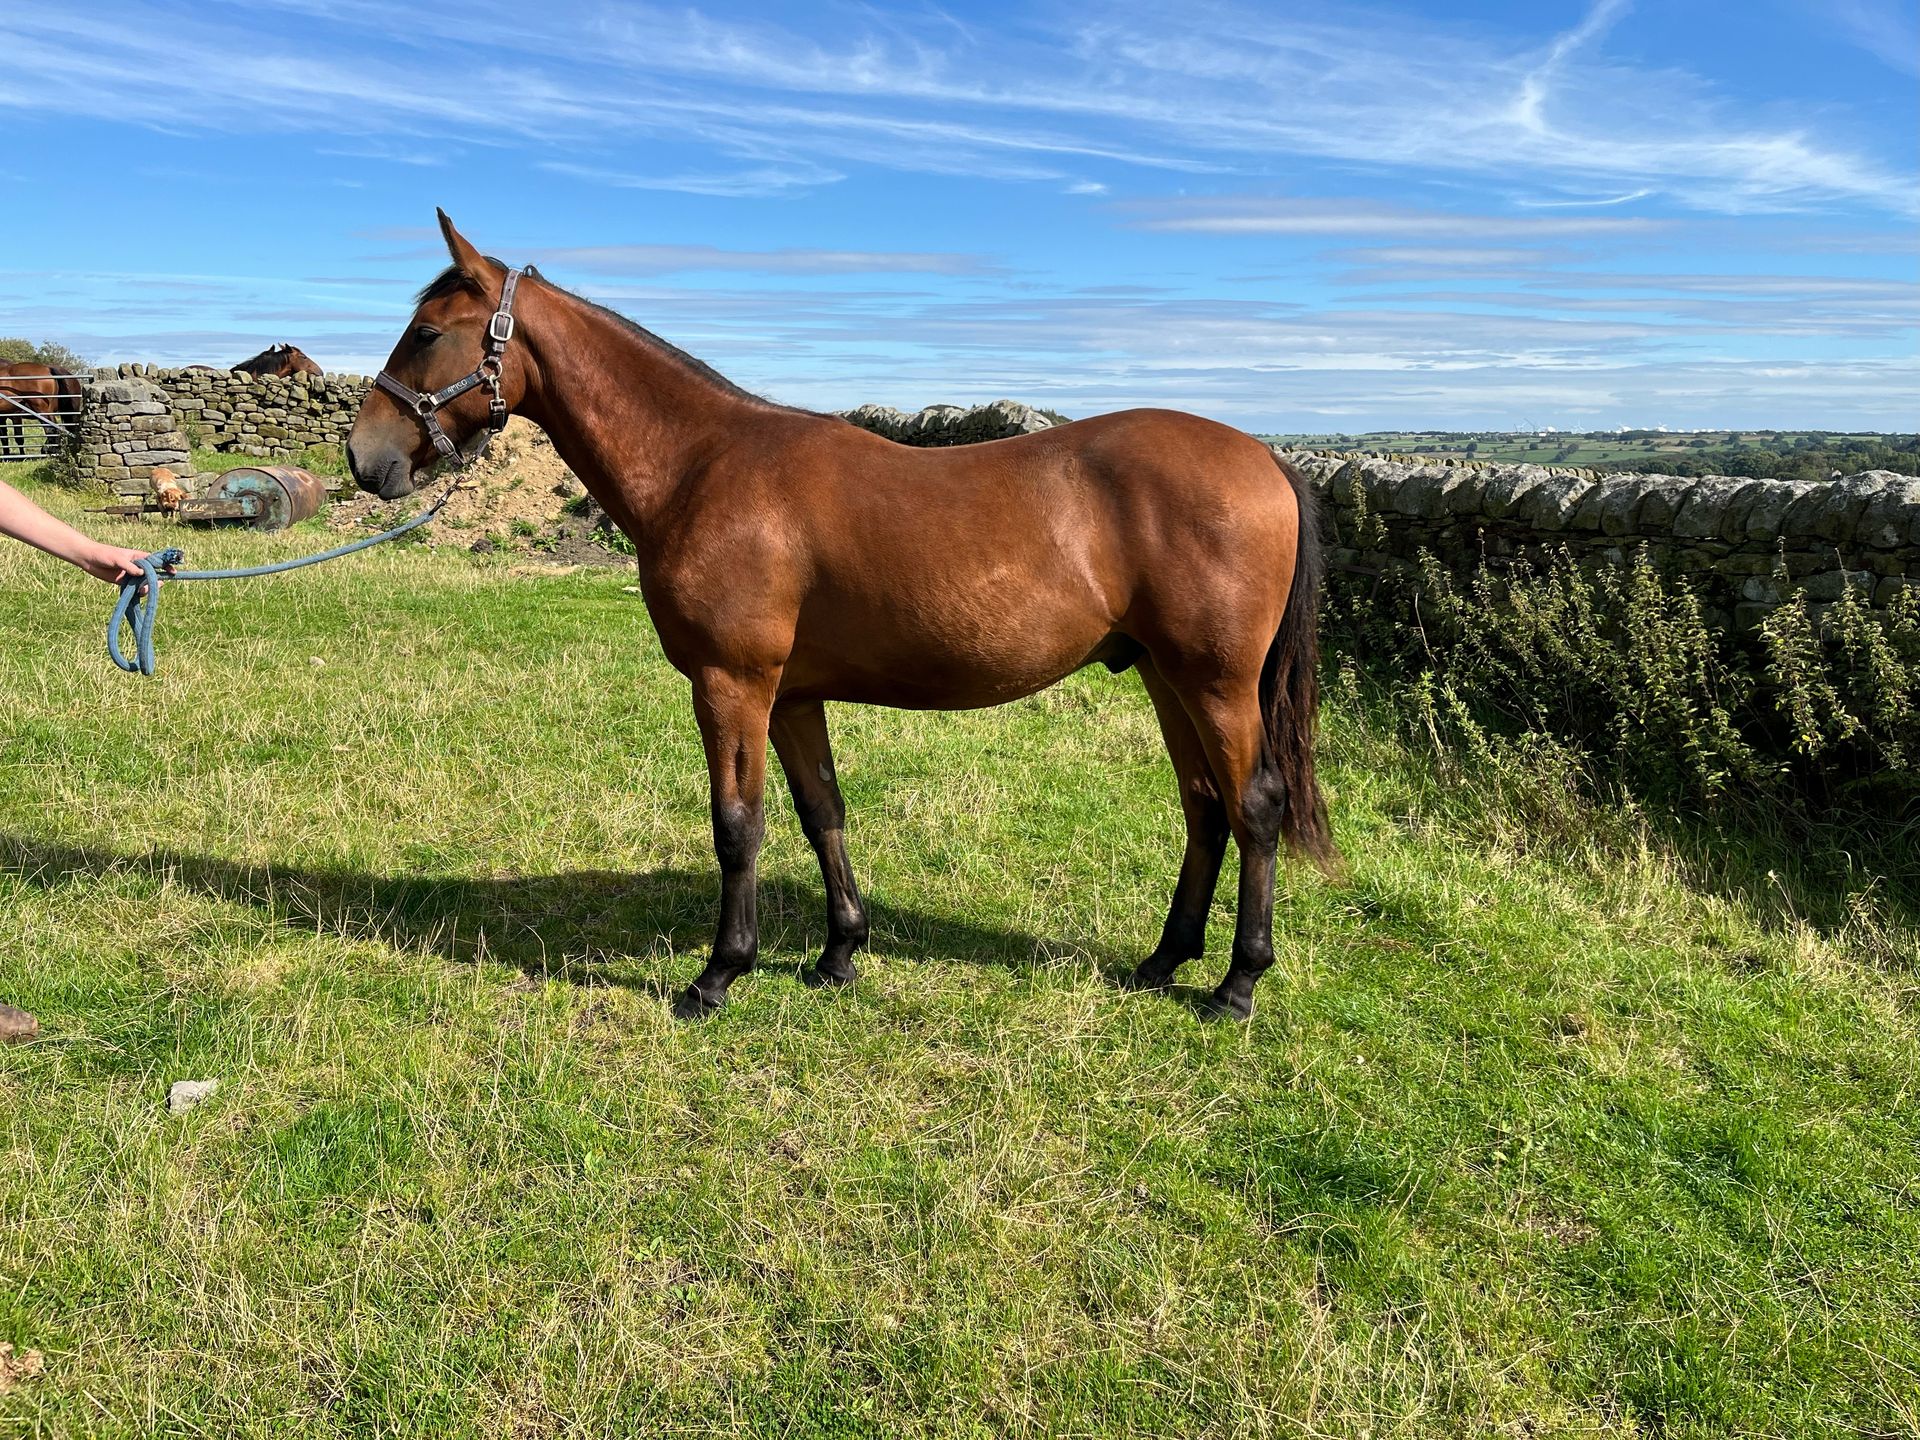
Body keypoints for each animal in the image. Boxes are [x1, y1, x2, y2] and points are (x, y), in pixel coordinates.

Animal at [348, 211, 1335, 1022]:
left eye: (427, 332)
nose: (364, 458)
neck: (704, 465)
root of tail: (1266, 459)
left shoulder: (732, 685)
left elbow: (737, 823)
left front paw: (719, 974)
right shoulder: (791, 695)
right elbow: (821, 809)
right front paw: (838, 954)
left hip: (1217, 683)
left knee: (1254, 805)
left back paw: (1237, 984)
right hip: (1167, 678)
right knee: (1203, 806)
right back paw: (1165, 959)